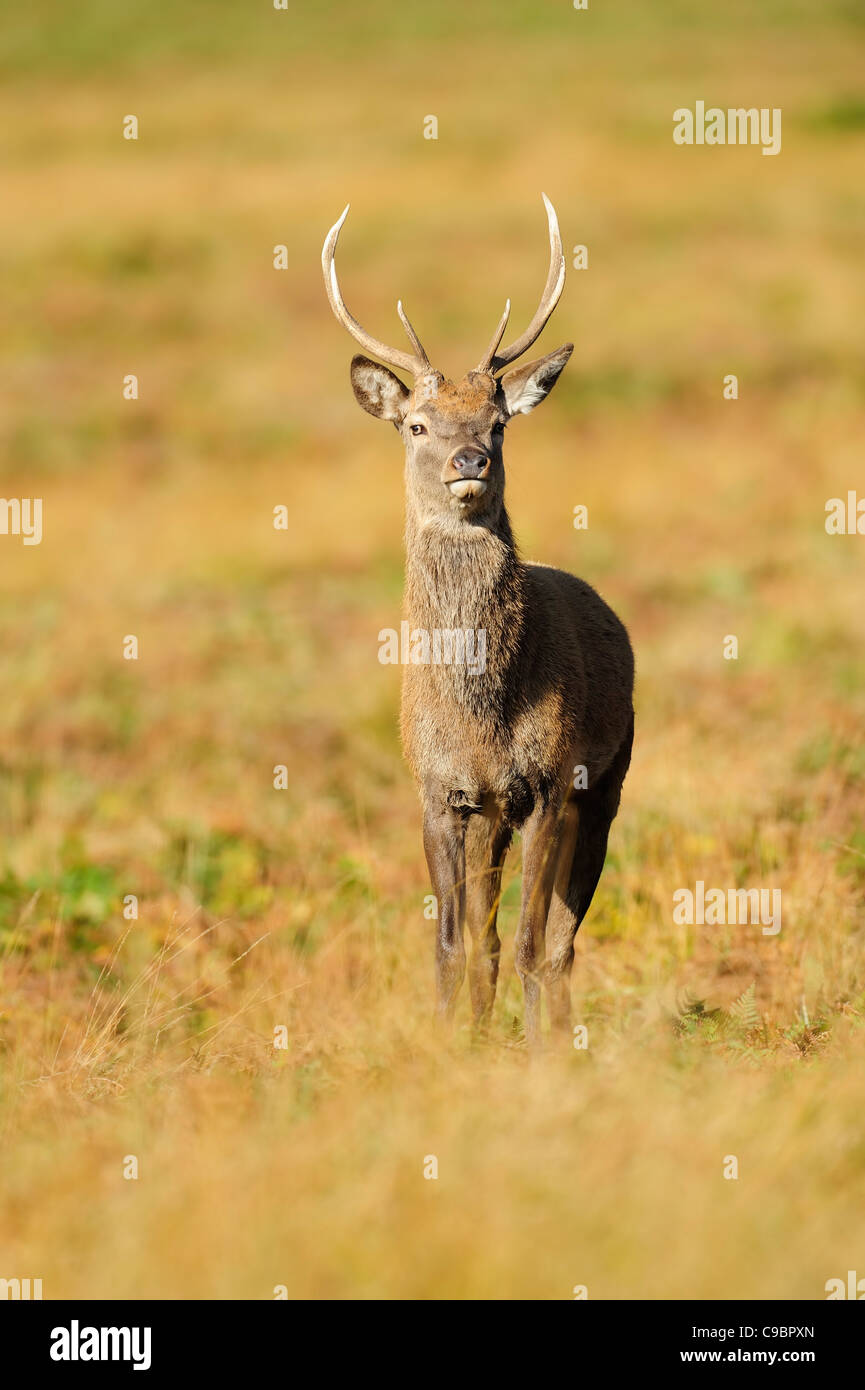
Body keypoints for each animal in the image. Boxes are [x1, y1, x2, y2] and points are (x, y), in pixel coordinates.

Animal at [322, 195, 634, 1046]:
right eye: (417, 424)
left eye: (498, 421)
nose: (470, 460)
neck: (480, 717)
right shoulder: (438, 790)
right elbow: (454, 944)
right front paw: (450, 1045)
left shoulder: (552, 781)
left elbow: (530, 942)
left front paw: (534, 1056)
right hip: (493, 813)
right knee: (495, 939)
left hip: (609, 778)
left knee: (560, 941)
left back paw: (558, 1033)